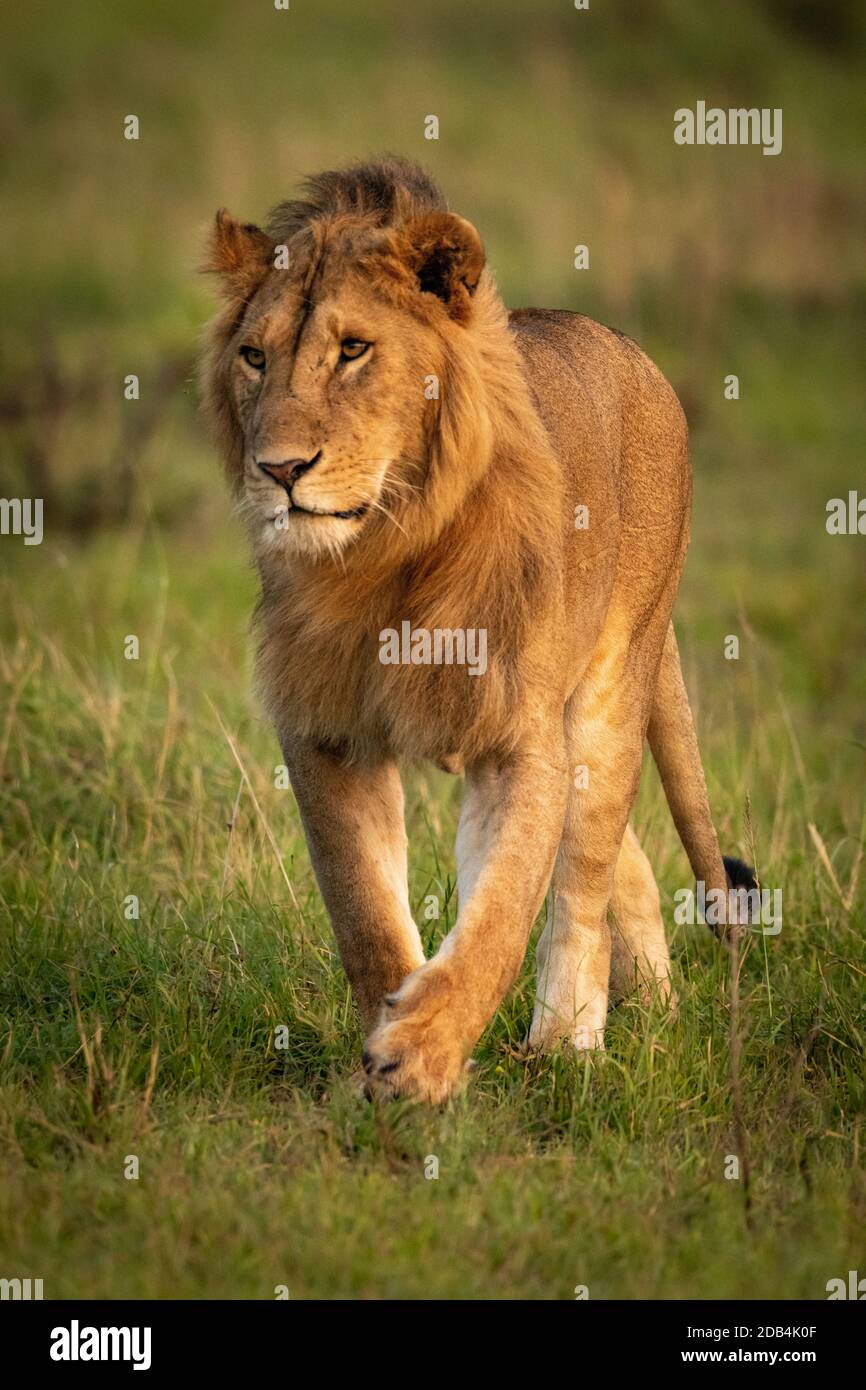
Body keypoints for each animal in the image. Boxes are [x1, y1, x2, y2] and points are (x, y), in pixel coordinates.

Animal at [201, 157, 754, 1103]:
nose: (278, 470)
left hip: (614, 684)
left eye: (353, 350)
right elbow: (366, 913)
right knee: (622, 860)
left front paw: (422, 1056)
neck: (386, 551)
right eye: (254, 356)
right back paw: (657, 1003)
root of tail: (627, 348)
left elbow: (502, 912)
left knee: (584, 875)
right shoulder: (325, 732)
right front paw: (389, 1046)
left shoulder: (519, 736)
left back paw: (569, 1044)